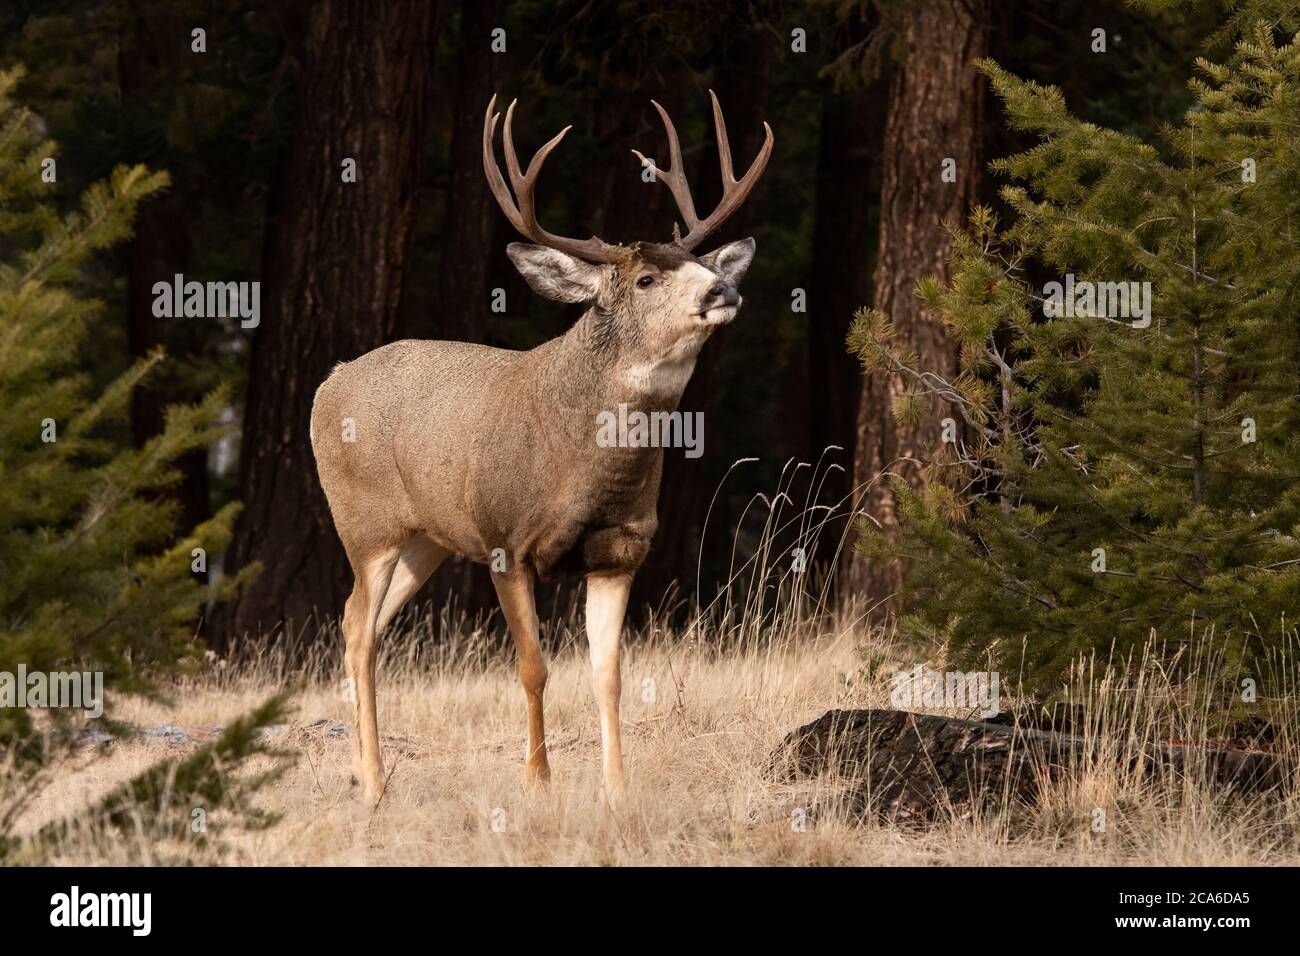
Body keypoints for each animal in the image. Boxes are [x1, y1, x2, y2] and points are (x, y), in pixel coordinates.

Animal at [309, 91, 772, 805]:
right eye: (645, 279)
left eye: (700, 265)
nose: (722, 289)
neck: (588, 469)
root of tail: (327, 384)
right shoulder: (507, 539)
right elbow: (533, 667)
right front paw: (538, 783)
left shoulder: (621, 552)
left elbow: (608, 674)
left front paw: (617, 791)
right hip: (366, 523)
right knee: (358, 626)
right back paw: (376, 785)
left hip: (426, 538)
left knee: (361, 621)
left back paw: (366, 773)